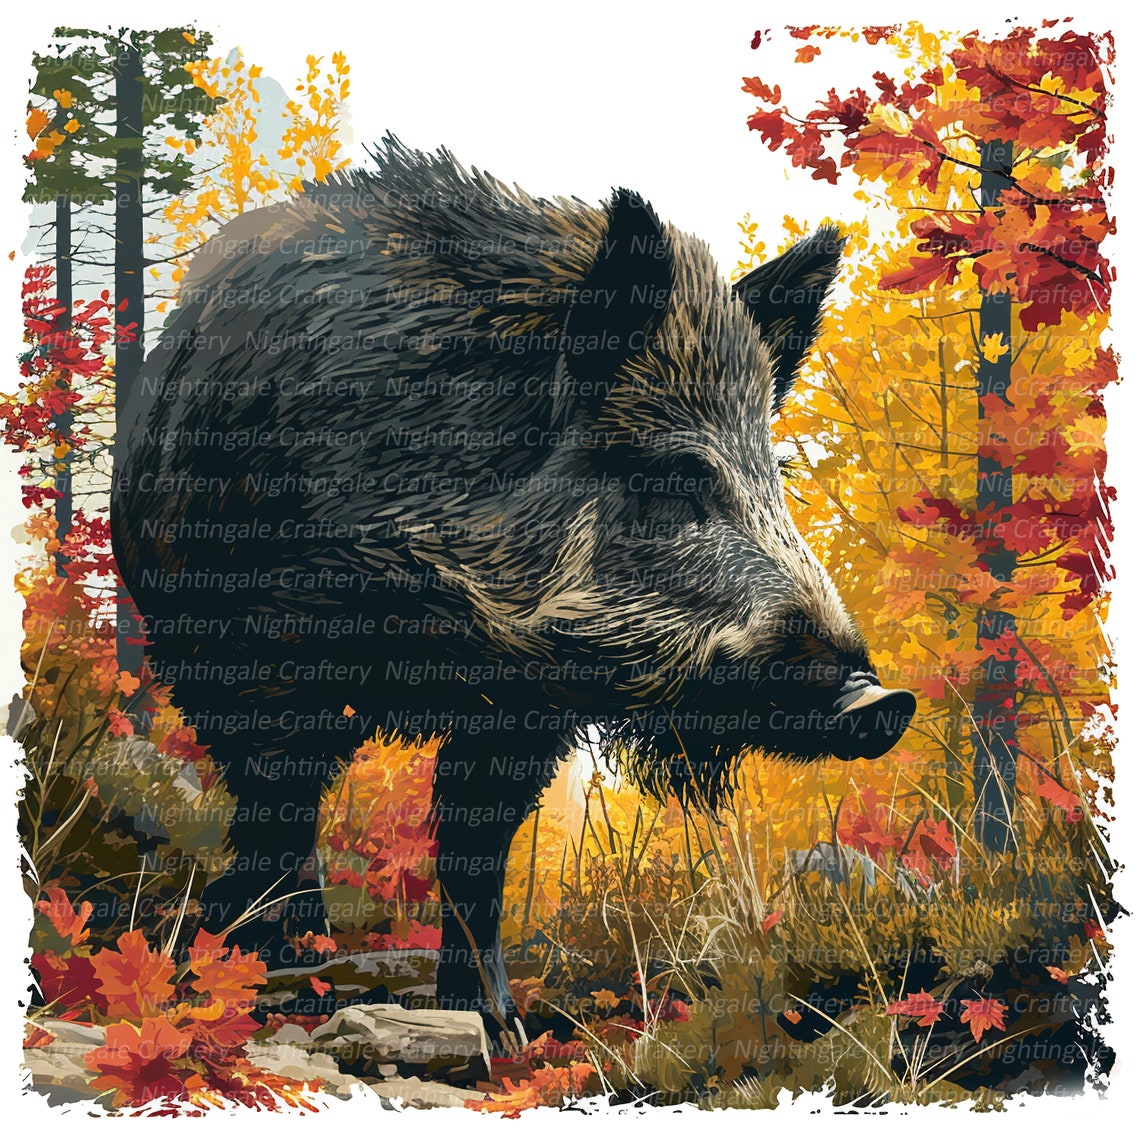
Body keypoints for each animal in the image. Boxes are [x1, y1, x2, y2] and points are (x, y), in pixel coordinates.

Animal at [111, 136, 915, 1033]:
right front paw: (256, 976)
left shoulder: (526, 703)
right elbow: (278, 803)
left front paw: (497, 1024)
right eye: (673, 476)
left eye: (772, 478)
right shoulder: (264, 647)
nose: (882, 702)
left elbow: (477, 855)